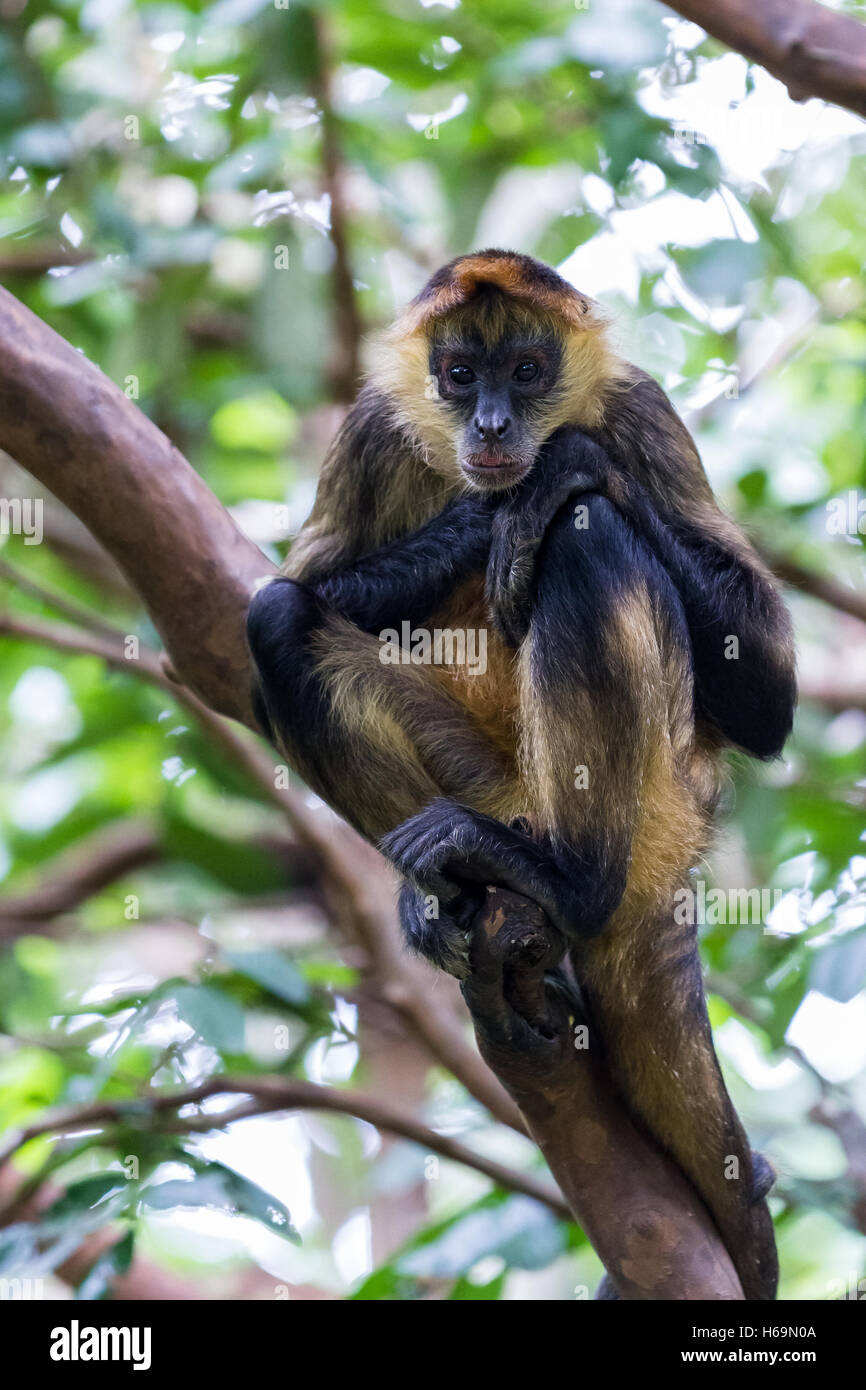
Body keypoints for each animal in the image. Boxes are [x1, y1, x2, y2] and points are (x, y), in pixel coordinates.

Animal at [247, 250, 796, 1300]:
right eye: (462, 376)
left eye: (530, 372)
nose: (497, 429)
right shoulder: (371, 427)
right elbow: (287, 598)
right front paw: (484, 514)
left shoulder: (637, 405)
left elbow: (771, 697)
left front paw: (561, 467)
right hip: (491, 783)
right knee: (278, 618)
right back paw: (461, 892)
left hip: (652, 788)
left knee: (586, 528)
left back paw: (566, 883)